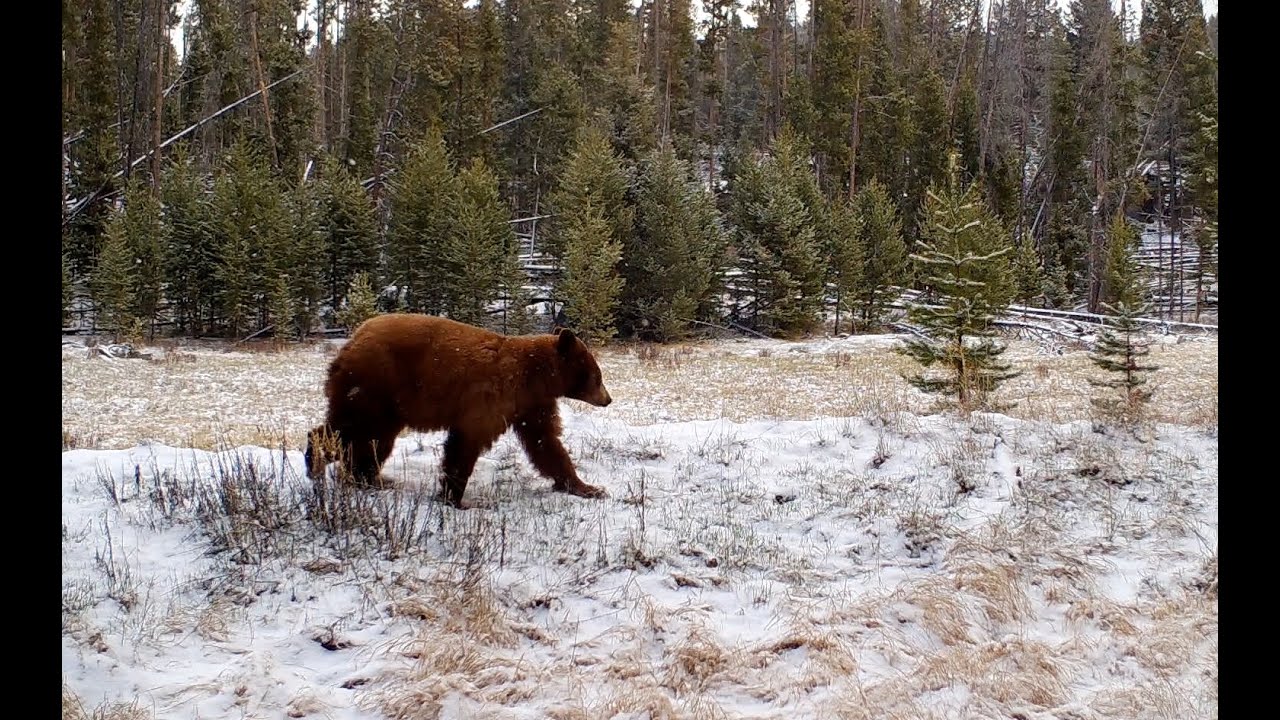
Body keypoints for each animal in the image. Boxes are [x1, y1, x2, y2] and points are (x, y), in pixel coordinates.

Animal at [304, 313, 613, 508]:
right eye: (597, 376)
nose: (608, 399)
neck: (535, 376)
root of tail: (350, 341)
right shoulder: (492, 395)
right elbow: (466, 442)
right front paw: (455, 498)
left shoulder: (530, 404)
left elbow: (546, 443)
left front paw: (588, 487)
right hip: (375, 386)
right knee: (353, 429)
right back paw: (316, 460)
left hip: (385, 402)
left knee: (372, 440)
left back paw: (371, 478)